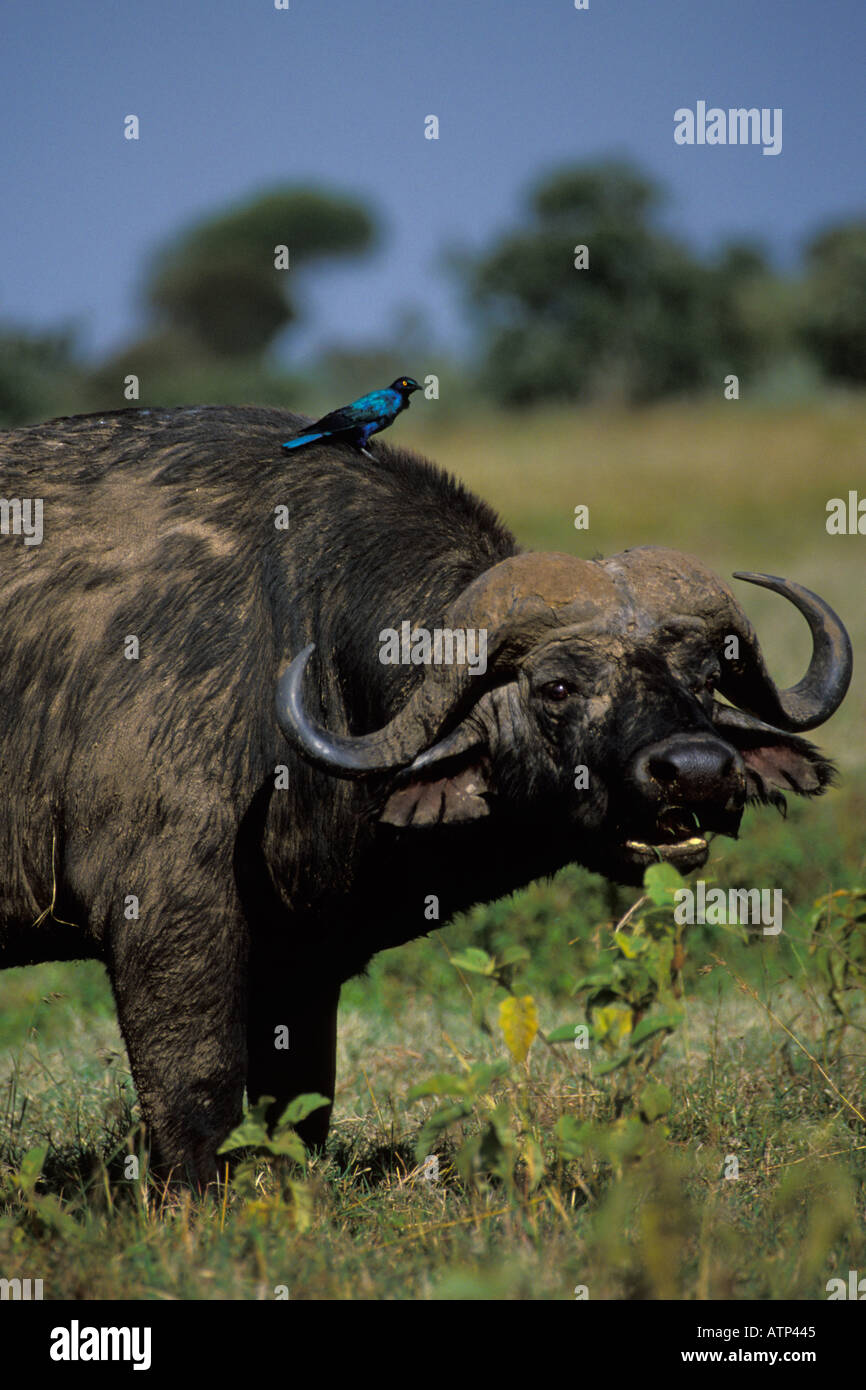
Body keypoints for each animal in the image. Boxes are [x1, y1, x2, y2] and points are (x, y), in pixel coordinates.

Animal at [0, 405, 852, 1182]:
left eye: (706, 677)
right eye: (558, 686)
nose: (699, 769)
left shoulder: (302, 957)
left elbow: (301, 1106)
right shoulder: (163, 919)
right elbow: (198, 1097)